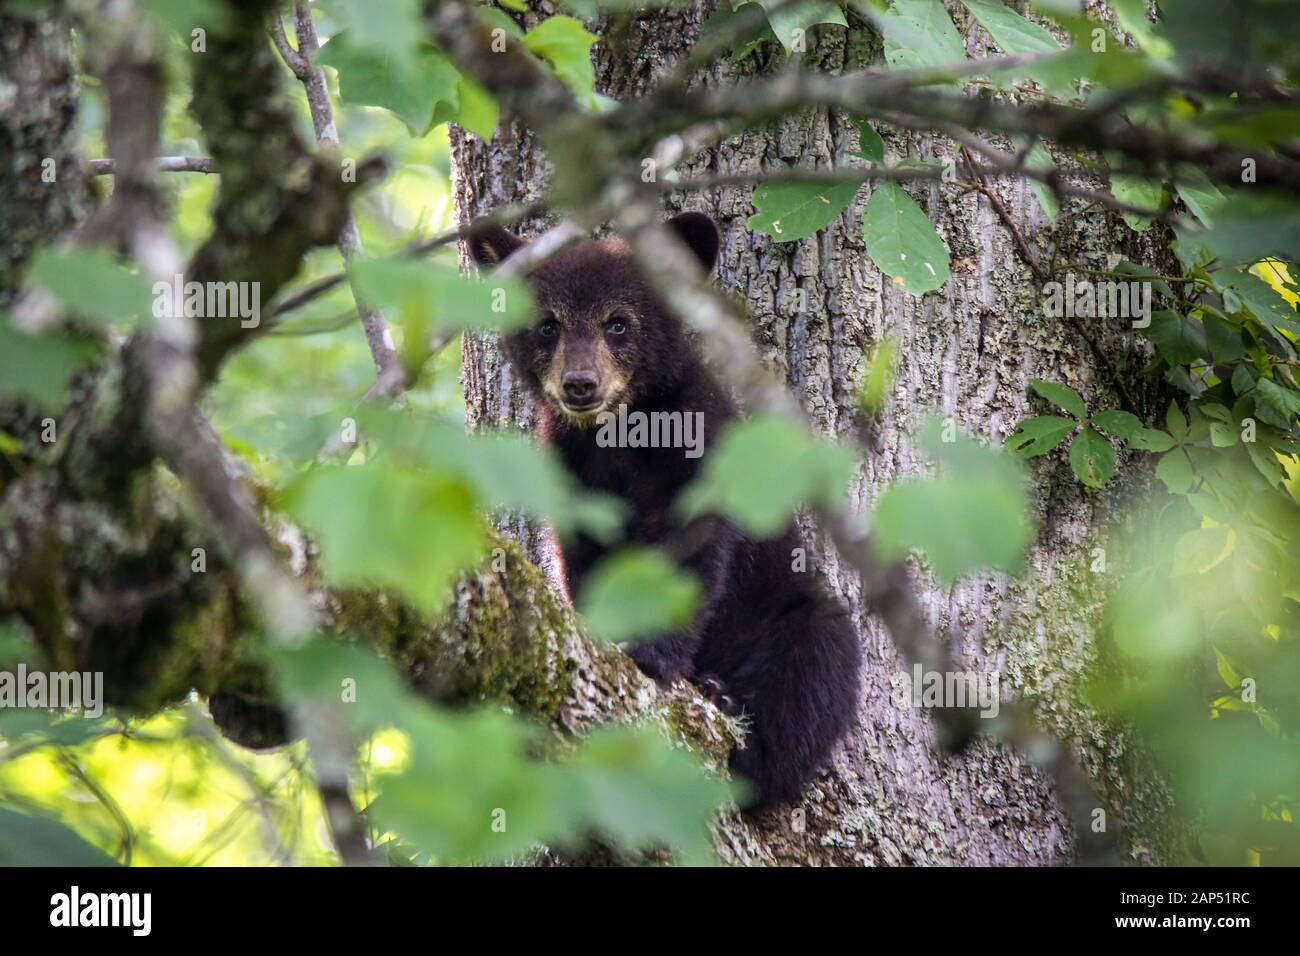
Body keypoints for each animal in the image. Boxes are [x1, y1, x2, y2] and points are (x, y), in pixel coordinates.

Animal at [470, 212, 862, 810]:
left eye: (618, 324)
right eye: (547, 326)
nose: (580, 384)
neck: (621, 434)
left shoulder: (699, 448)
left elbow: (688, 551)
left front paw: (653, 653)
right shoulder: (568, 469)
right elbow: (583, 556)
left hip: (790, 612)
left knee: (814, 673)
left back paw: (731, 713)